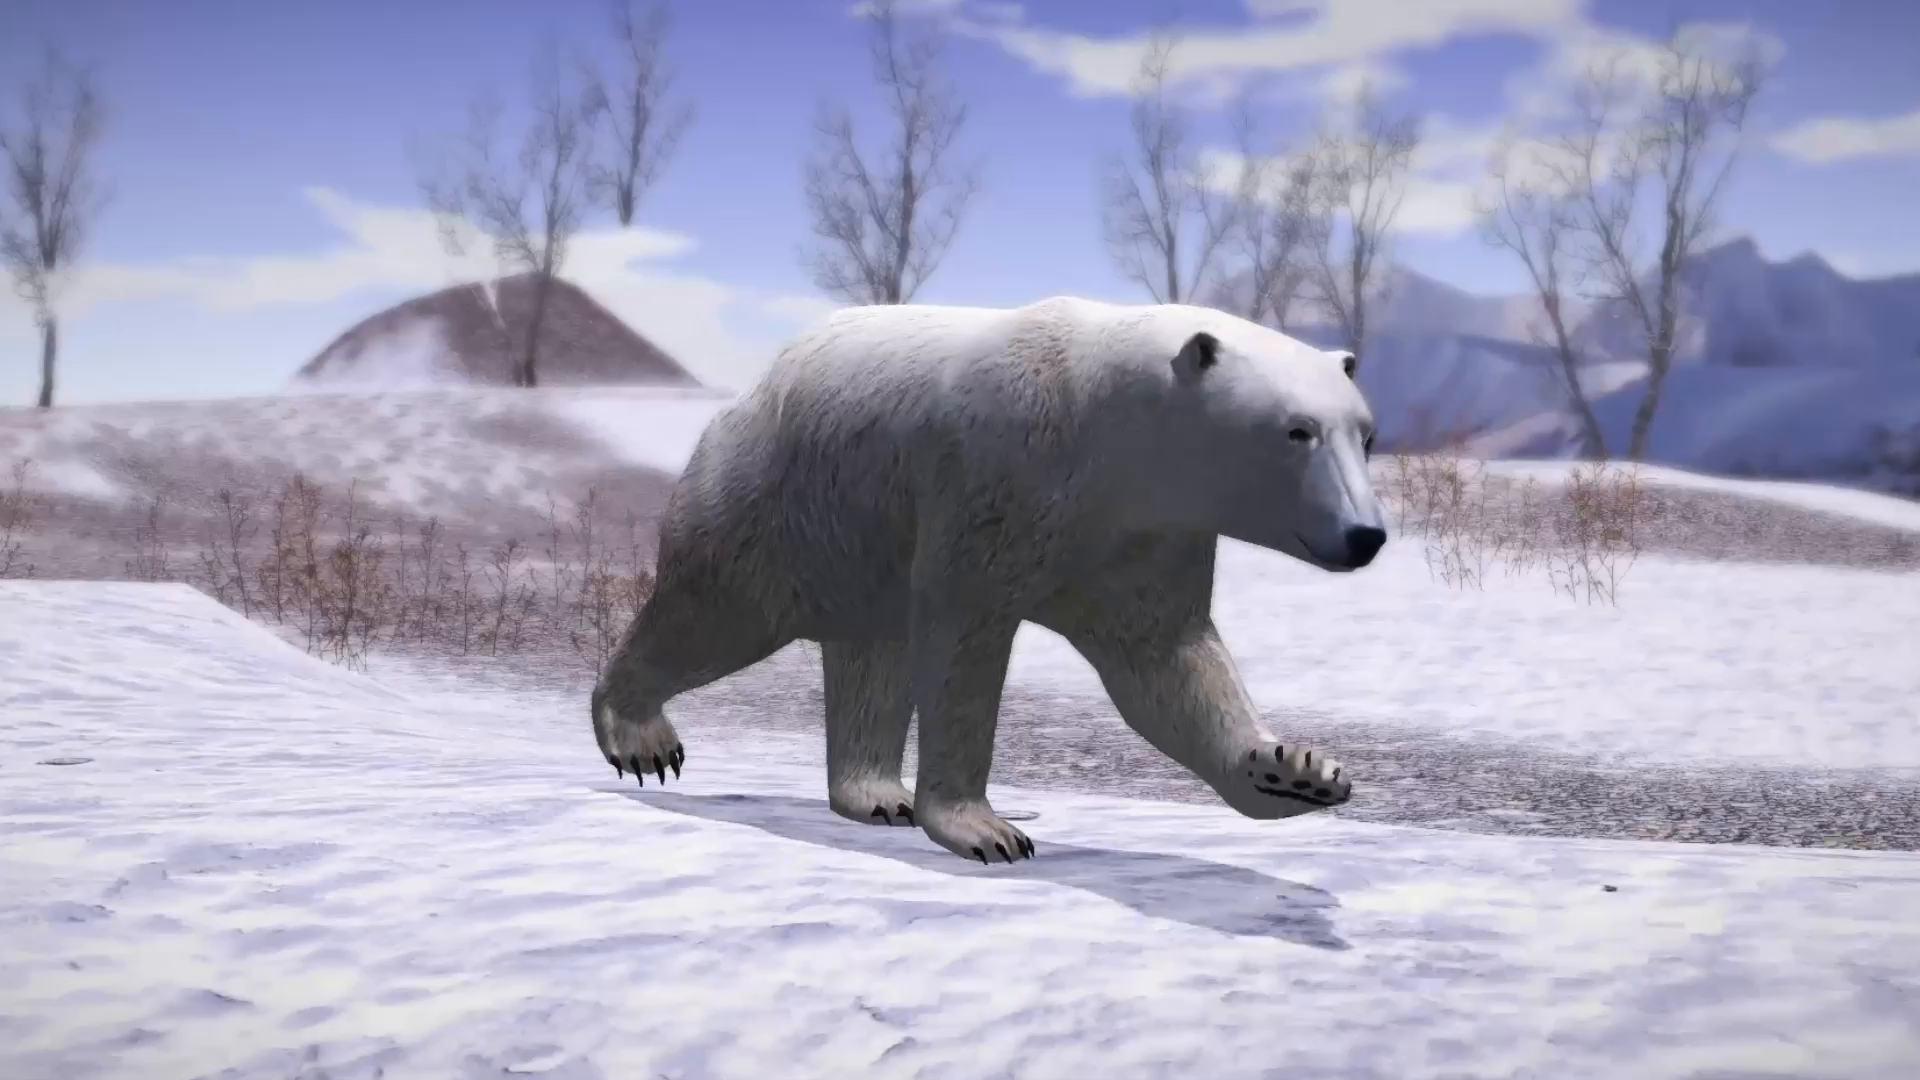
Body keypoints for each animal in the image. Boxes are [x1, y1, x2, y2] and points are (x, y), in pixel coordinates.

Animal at [591, 296, 1388, 863]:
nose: (1367, 535)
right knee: (716, 612)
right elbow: (964, 646)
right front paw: (985, 830)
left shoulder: (1145, 535)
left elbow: (1167, 661)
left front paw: (1297, 770)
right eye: (1296, 430)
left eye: (1365, 433)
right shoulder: (1000, 481)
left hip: (865, 540)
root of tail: (759, 382)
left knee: (871, 661)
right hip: (785, 504)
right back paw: (640, 737)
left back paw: (877, 794)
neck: (1110, 438)